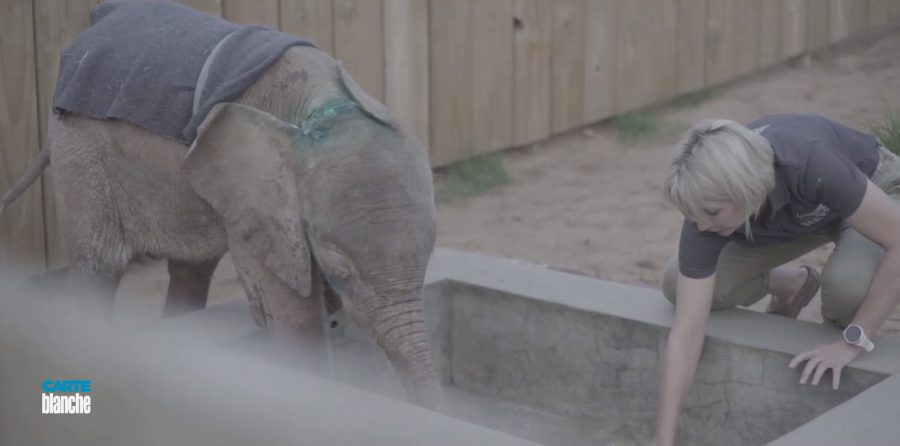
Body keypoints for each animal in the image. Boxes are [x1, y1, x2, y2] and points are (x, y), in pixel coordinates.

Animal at [0, 21, 445, 410]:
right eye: (341, 269)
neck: (325, 114)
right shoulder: (266, 205)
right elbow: (294, 313)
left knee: (192, 269)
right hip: (80, 154)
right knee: (100, 267)